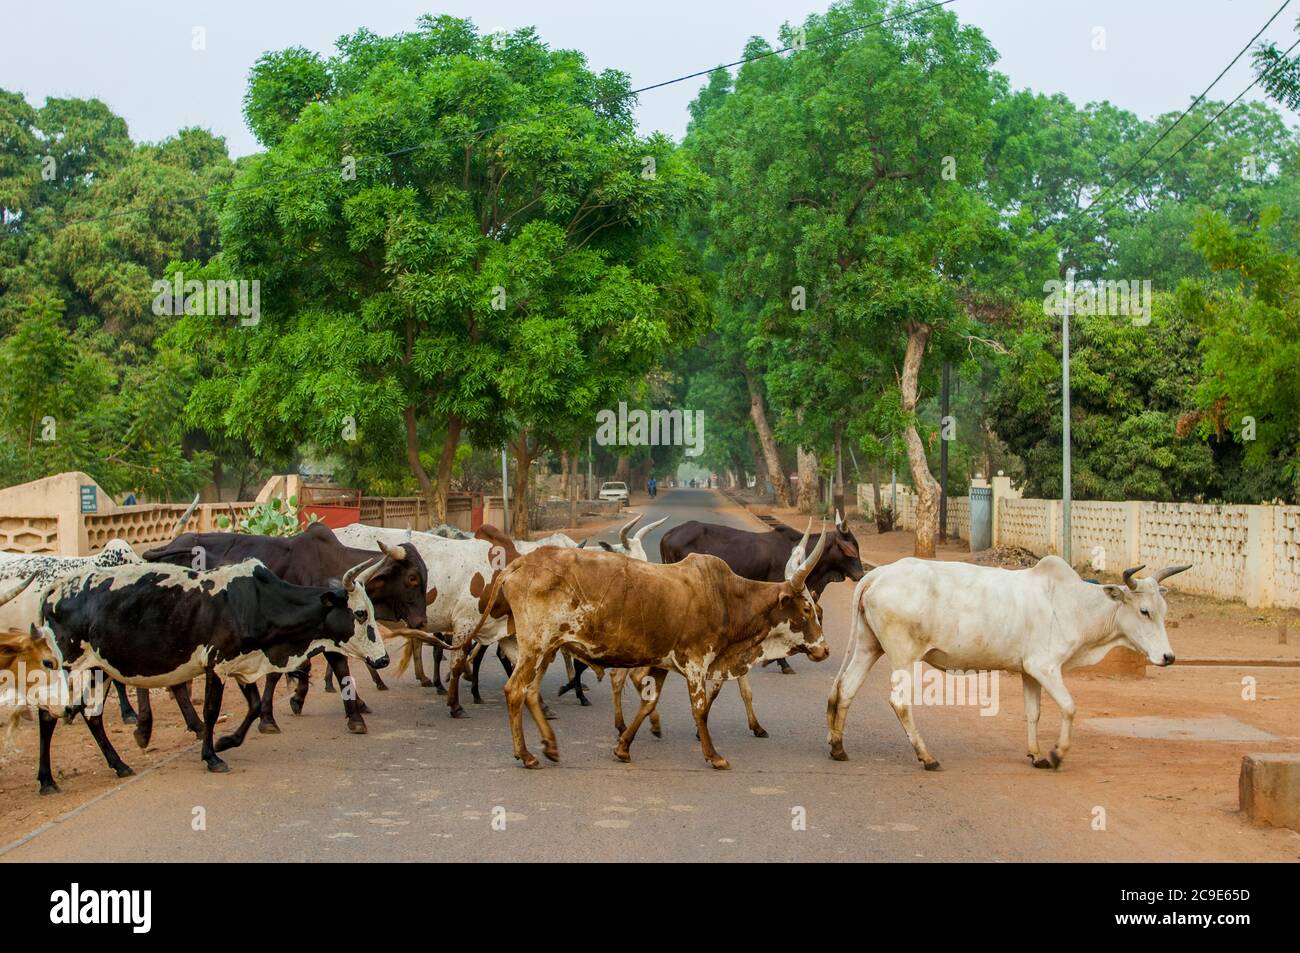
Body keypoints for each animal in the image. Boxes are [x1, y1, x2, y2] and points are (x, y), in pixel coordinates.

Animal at [37, 556, 390, 792]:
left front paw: (226, 741)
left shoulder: (240, 666)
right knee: (49, 714)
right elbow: (210, 710)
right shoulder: (216, 665)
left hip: (100, 668)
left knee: (91, 714)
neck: (256, 602)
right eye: (360, 614)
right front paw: (212, 757)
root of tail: (54, 589)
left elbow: (253, 707)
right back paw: (47, 780)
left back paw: (120, 765)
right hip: (66, 665)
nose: (384, 658)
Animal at [464, 531, 830, 770]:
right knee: (514, 690)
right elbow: (700, 709)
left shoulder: (662, 662)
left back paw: (551, 747)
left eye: (818, 610)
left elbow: (648, 703)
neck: (727, 596)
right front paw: (713, 756)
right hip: (535, 646)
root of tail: (520, 565)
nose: (825, 650)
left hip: (547, 649)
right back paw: (526, 755)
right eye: (807, 610)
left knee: (529, 692)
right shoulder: (696, 661)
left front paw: (623, 747)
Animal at [826, 557, 1190, 770]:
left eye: (1163, 611)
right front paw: (1057, 754)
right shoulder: (1046, 667)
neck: (1073, 604)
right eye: (1144, 611)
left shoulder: (1030, 671)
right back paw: (926, 757)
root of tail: (877, 574)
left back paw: (838, 748)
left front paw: (1037, 754)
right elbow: (1070, 707)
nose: (1168, 657)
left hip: (868, 646)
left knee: (845, 689)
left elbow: (1033, 712)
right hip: (903, 655)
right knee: (899, 702)